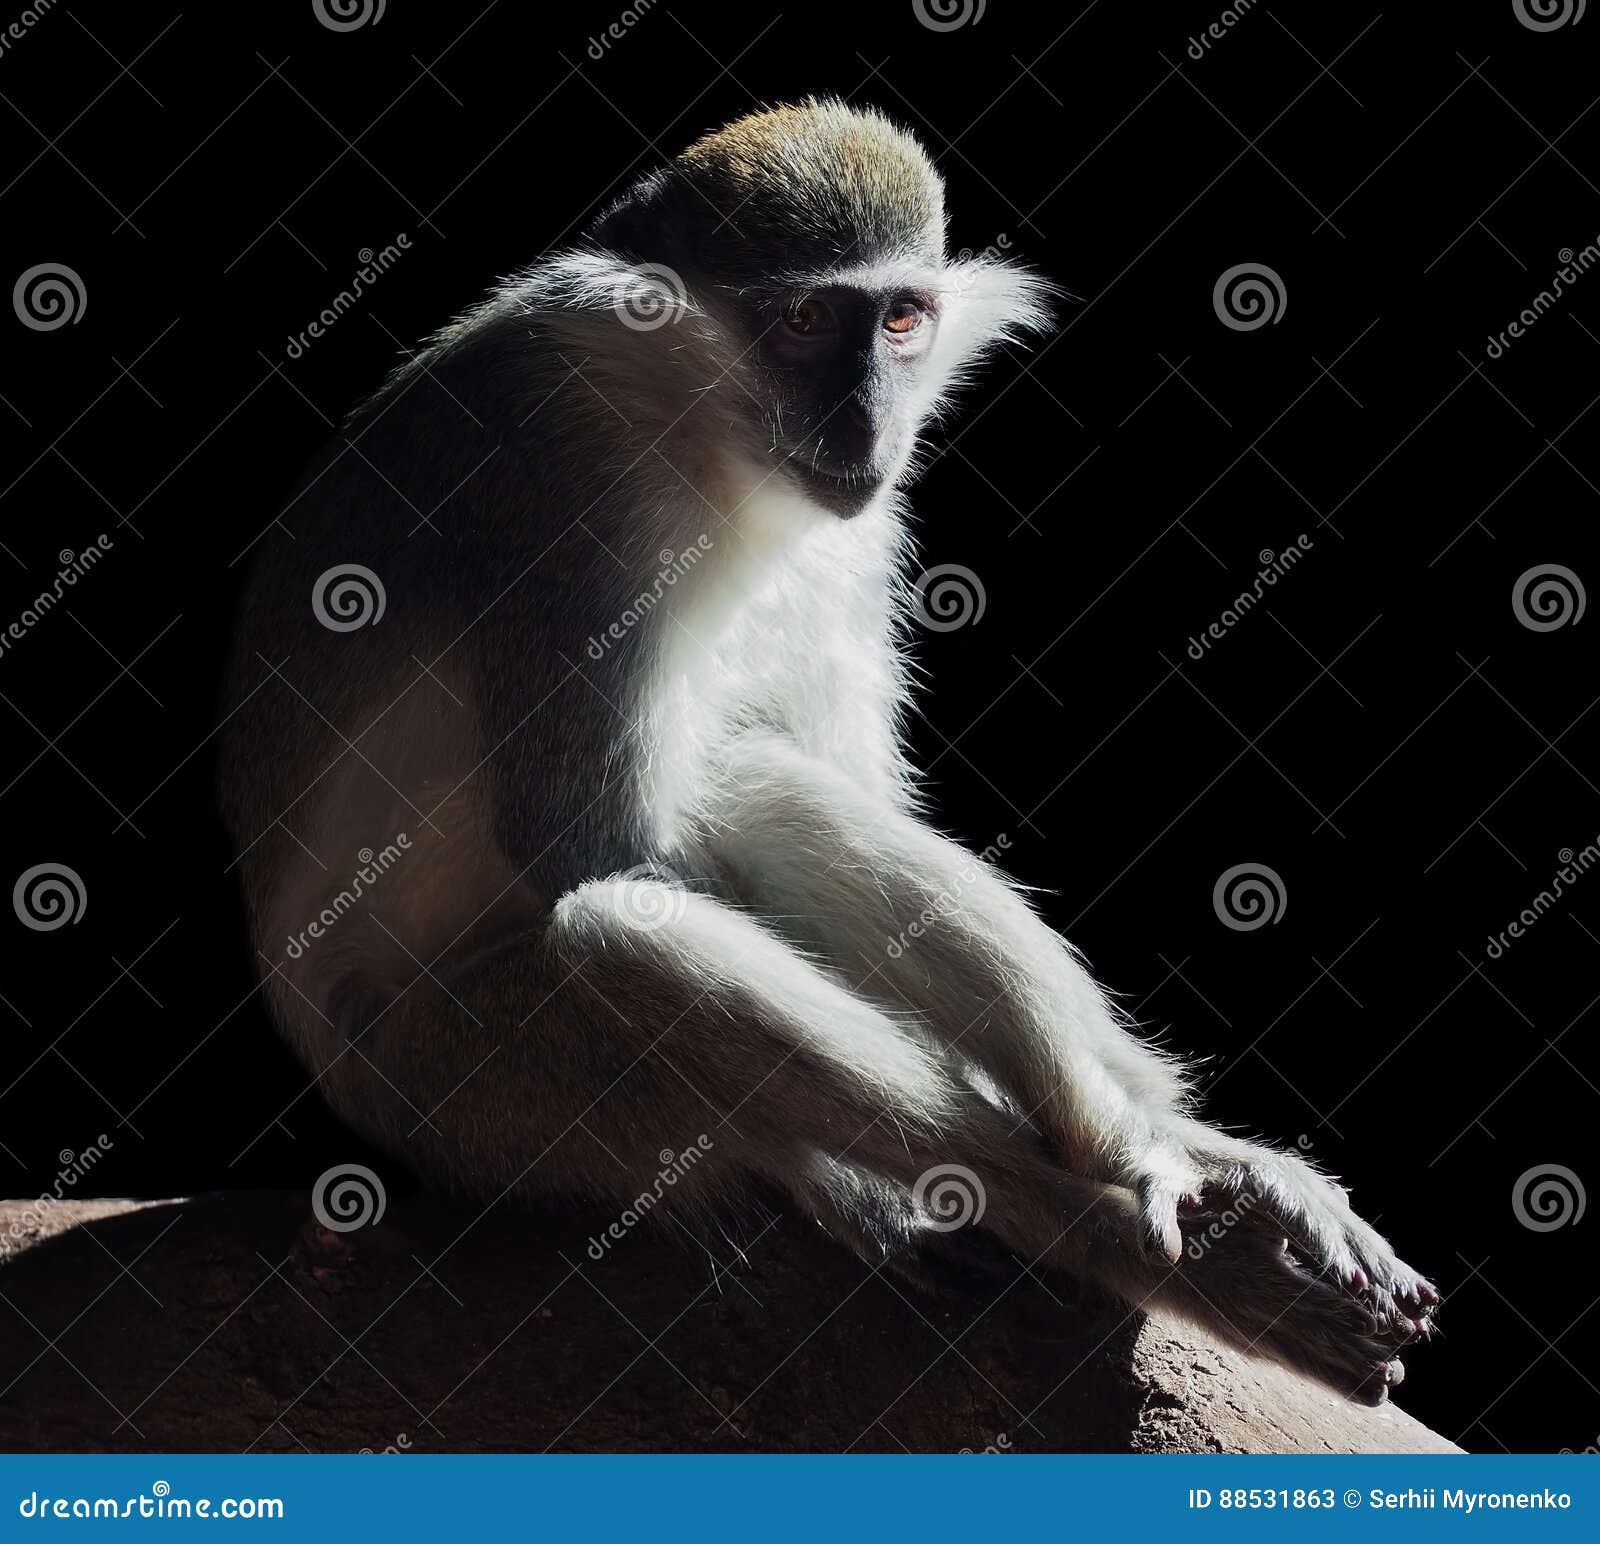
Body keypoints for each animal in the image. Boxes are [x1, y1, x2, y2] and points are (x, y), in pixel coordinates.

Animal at [219, 99, 1436, 1406]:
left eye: (900, 318)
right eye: (805, 321)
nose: (865, 419)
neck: (693, 432)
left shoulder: (857, 520)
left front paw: (1195, 1139)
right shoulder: (551, 473)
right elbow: (587, 840)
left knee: (757, 798)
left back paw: (1130, 1144)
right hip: (471, 1101)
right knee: (625, 928)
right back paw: (1104, 1222)